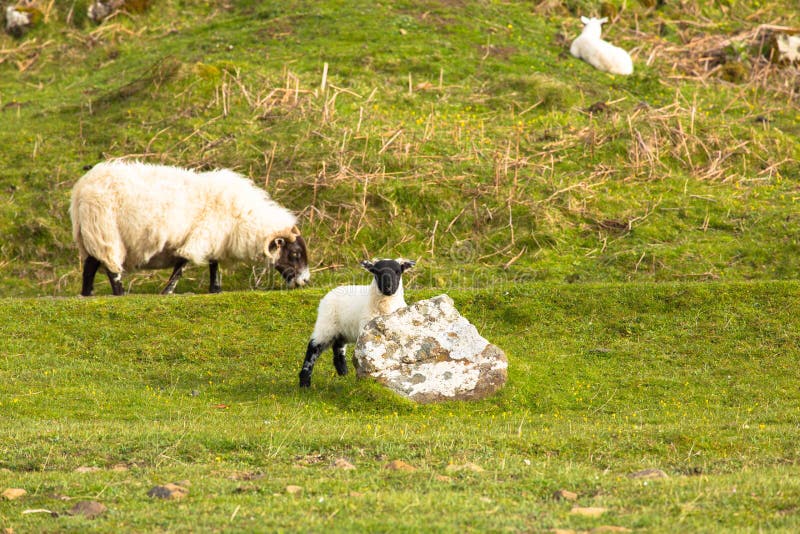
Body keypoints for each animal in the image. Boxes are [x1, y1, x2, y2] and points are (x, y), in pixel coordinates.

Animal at [70, 160, 310, 296]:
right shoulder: (202, 235)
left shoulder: (215, 239)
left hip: (90, 235)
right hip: (105, 231)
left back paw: (87, 293)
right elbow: (182, 265)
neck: (243, 219)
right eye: (295, 254)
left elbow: (213, 265)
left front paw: (215, 289)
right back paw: (119, 294)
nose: (306, 281)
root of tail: (81, 189)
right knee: (111, 268)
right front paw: (167, 291)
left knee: (89, 268)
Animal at [299, 258, 415, 388]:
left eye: (397, 271)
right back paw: (304, 382)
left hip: (343, 331)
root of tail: (333, 291)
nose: (388, 288)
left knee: (338, 347)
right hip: (326, 325)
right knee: (313, 347)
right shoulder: (367, 330)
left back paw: (343, 373)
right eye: (376, 272)